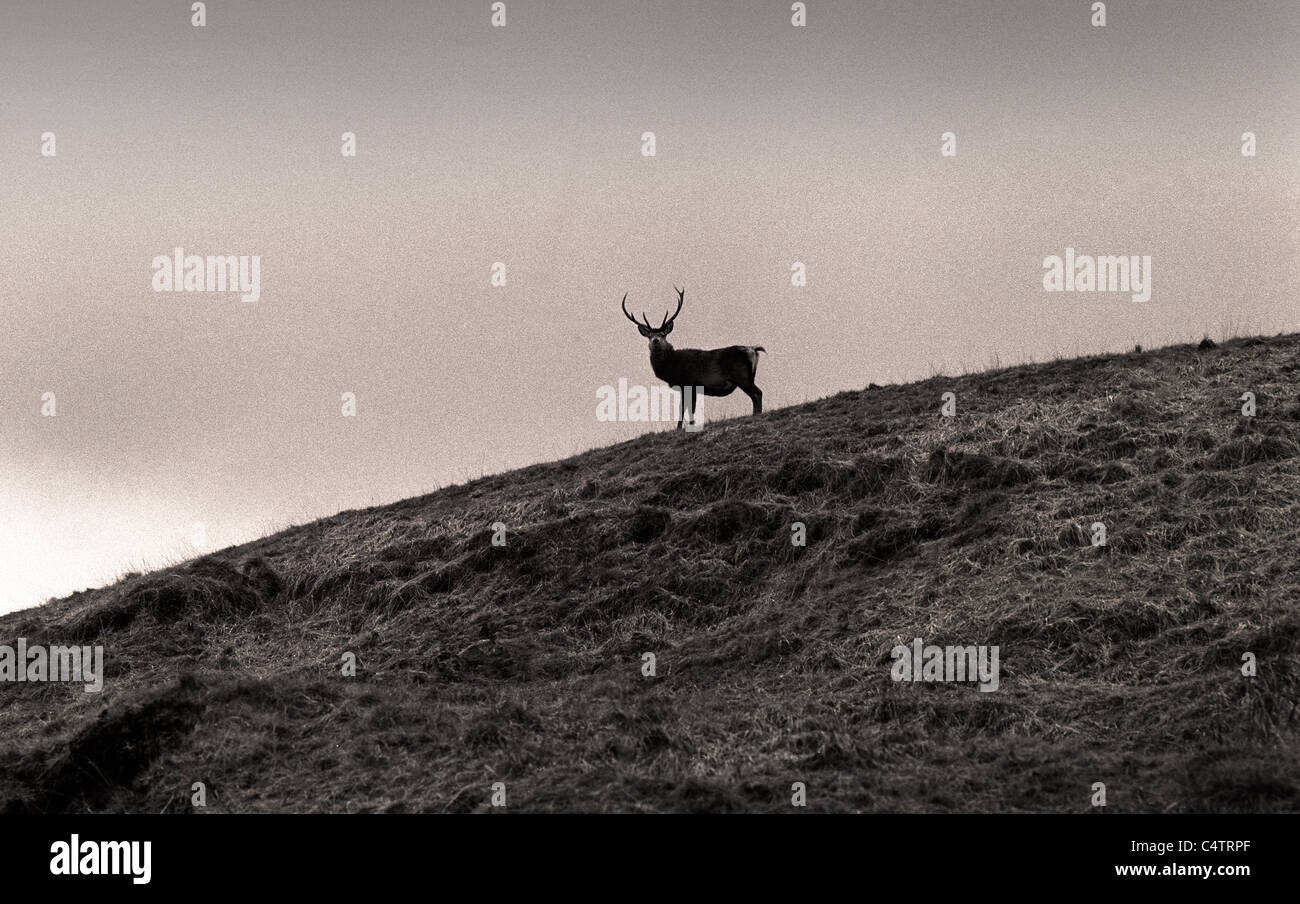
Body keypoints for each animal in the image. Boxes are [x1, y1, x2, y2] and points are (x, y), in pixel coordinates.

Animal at [621, 287, 765, 430]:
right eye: (649, 336)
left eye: (663, 334)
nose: (656, 340)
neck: (671, 368)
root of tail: (753, 349)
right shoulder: (687, 387)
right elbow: (684, 407)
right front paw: (681, 427)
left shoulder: (689, 383)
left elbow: (688, 408)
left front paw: (687, 426)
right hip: (748, 376)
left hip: (742, 375)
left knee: (757, 393)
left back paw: (756, 416)